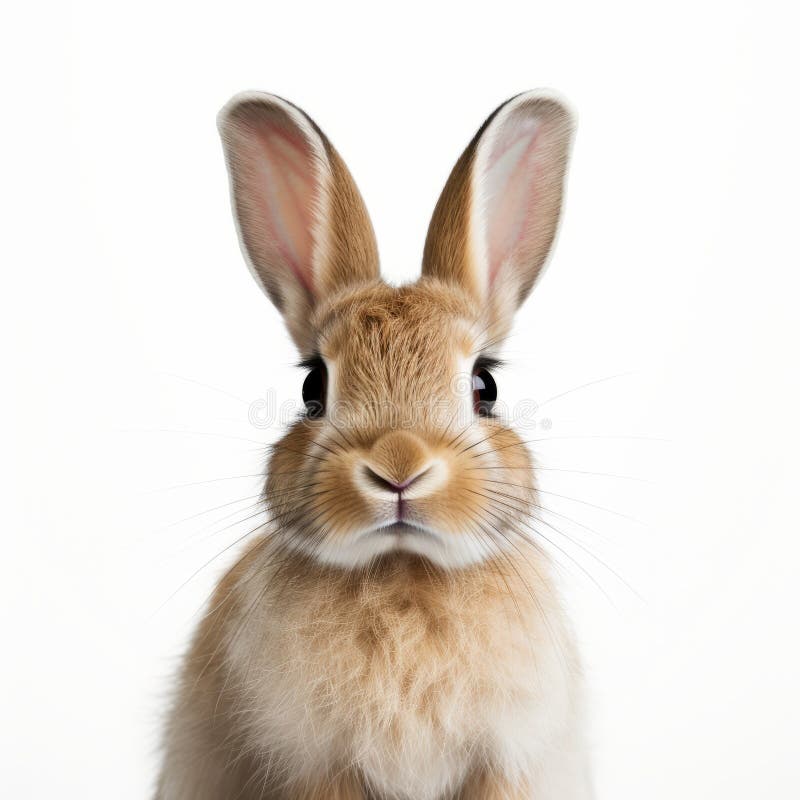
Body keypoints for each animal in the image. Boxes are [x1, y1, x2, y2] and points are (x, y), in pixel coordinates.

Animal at [155, 89, 592, 800]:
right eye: (313, 385)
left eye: (486, 384)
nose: (399, 467)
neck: (402, 568)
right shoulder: (321, 765)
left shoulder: (503, 761)